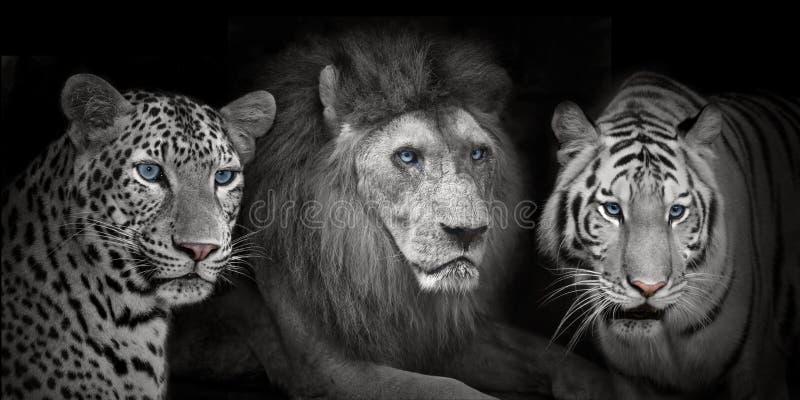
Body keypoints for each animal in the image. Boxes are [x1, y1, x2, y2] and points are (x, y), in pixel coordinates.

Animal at [169, 27, 613, 399]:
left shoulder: (436, 337)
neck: (381, 269)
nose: (469, 232)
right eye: (407, 156)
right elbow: (451, 391)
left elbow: (563, 361)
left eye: (477, 153)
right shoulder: (327, 368)